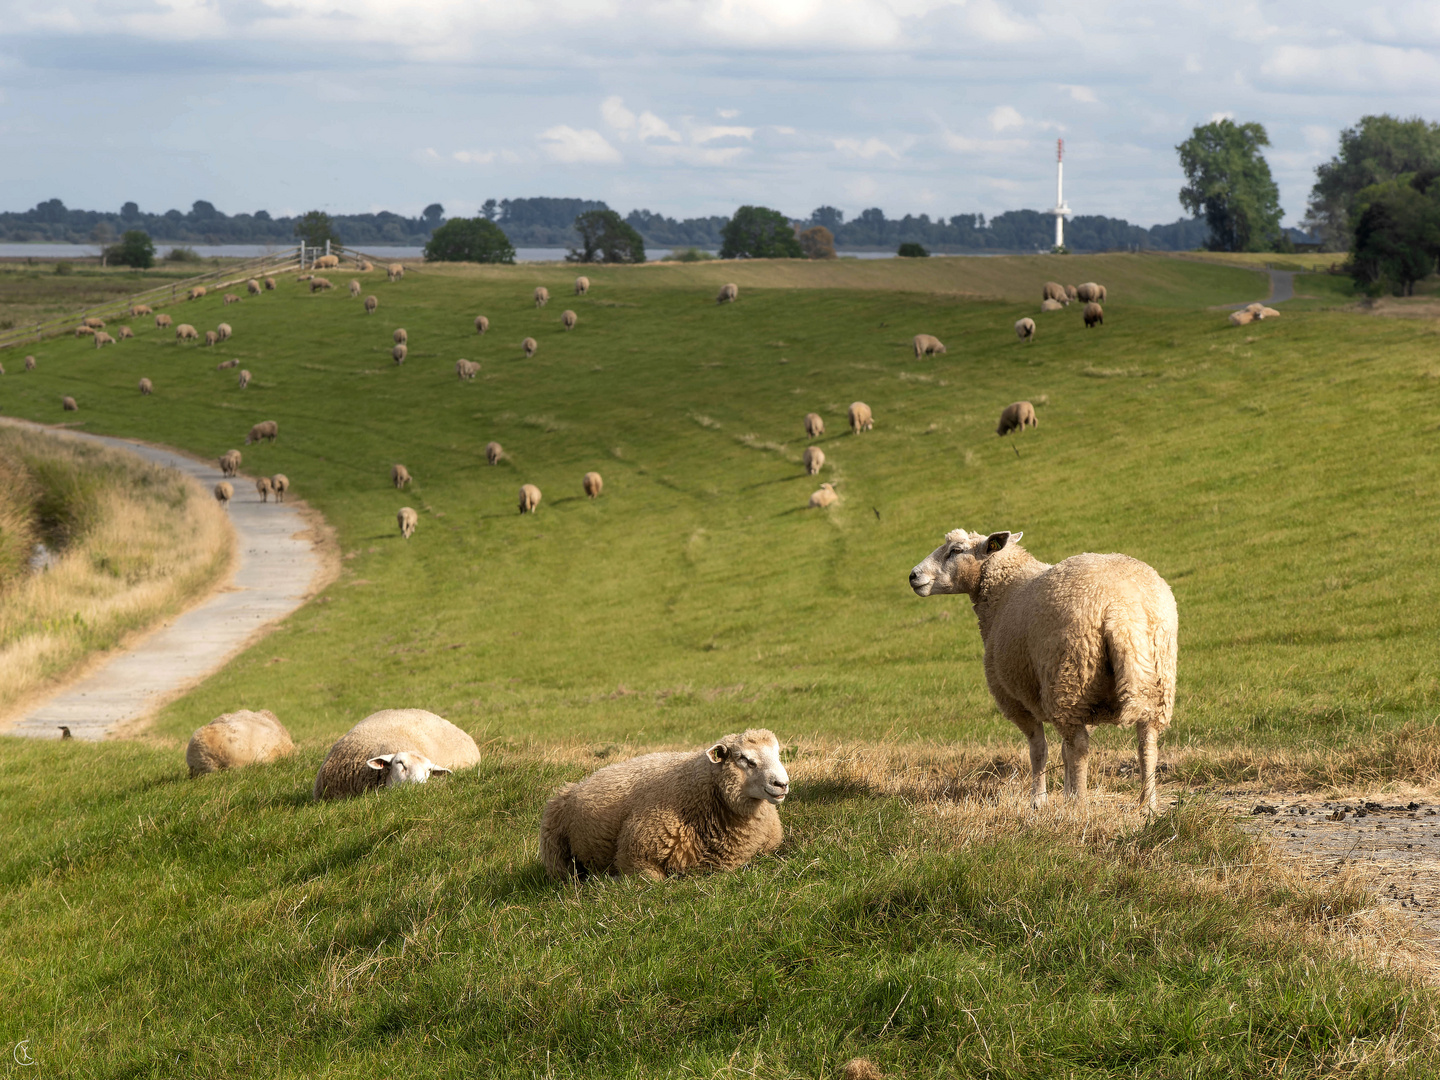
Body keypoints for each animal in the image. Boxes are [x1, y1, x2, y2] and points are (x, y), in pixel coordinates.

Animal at [910, 529, 1180, 806]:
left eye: (955, 550)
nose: (913, 575)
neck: (1004, 590)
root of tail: (1121, 608)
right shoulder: (1092, 701)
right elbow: (1063, 750)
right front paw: (1066, 793)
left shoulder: (1015, 700)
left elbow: (1039, 750)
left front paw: (1039, 801)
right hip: (1151, 677)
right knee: (1146, 742)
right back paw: (1147, 804)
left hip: (1069, 677)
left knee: (1080, 746)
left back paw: (1080, 807)